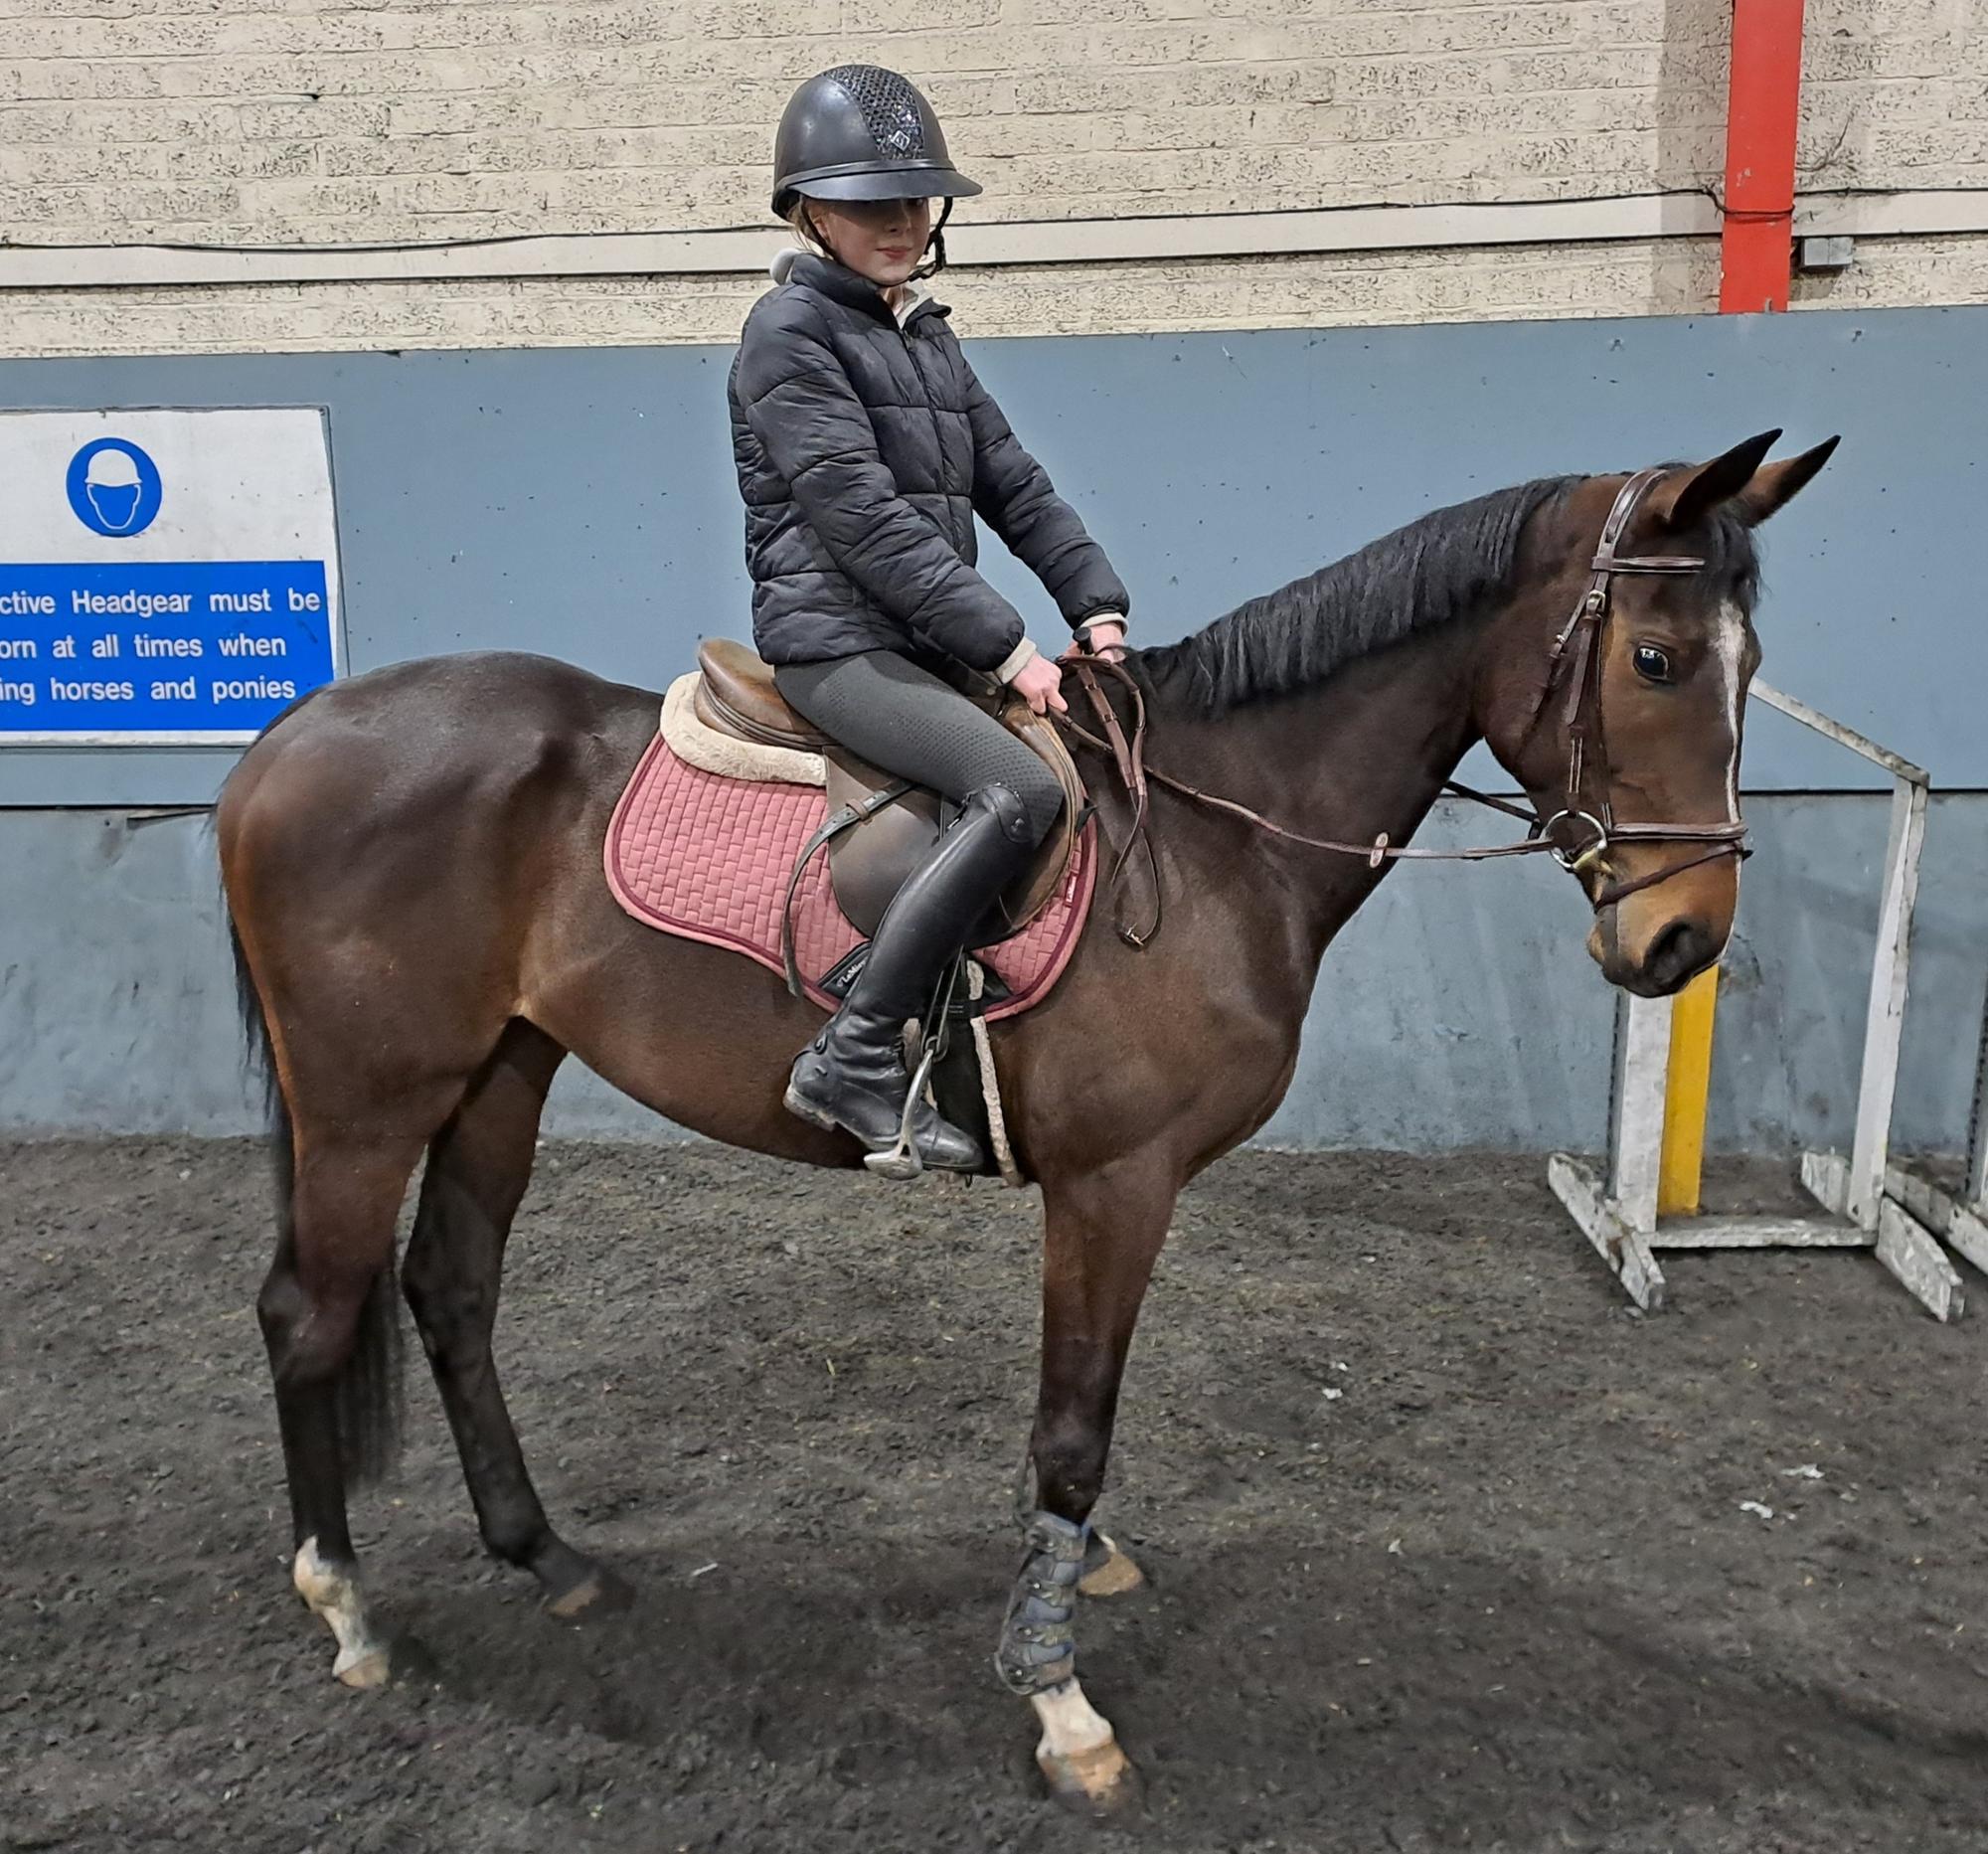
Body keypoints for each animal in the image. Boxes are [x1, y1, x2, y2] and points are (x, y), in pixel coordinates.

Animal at [217, 431, 1834, 1814]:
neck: (1217, 827)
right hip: (368, 1098)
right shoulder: (1116, 1183)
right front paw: (1059, 1699)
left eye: (1752, 664)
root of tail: (287, 737)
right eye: (1655, 659)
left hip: (502, 1069)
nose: (1683, 941)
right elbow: (1073, 1423)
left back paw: (544, 1555)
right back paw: (347, 1606)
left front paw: (1073, 1579)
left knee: (451, 1289)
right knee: (312, 1310)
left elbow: (1075, 1422)